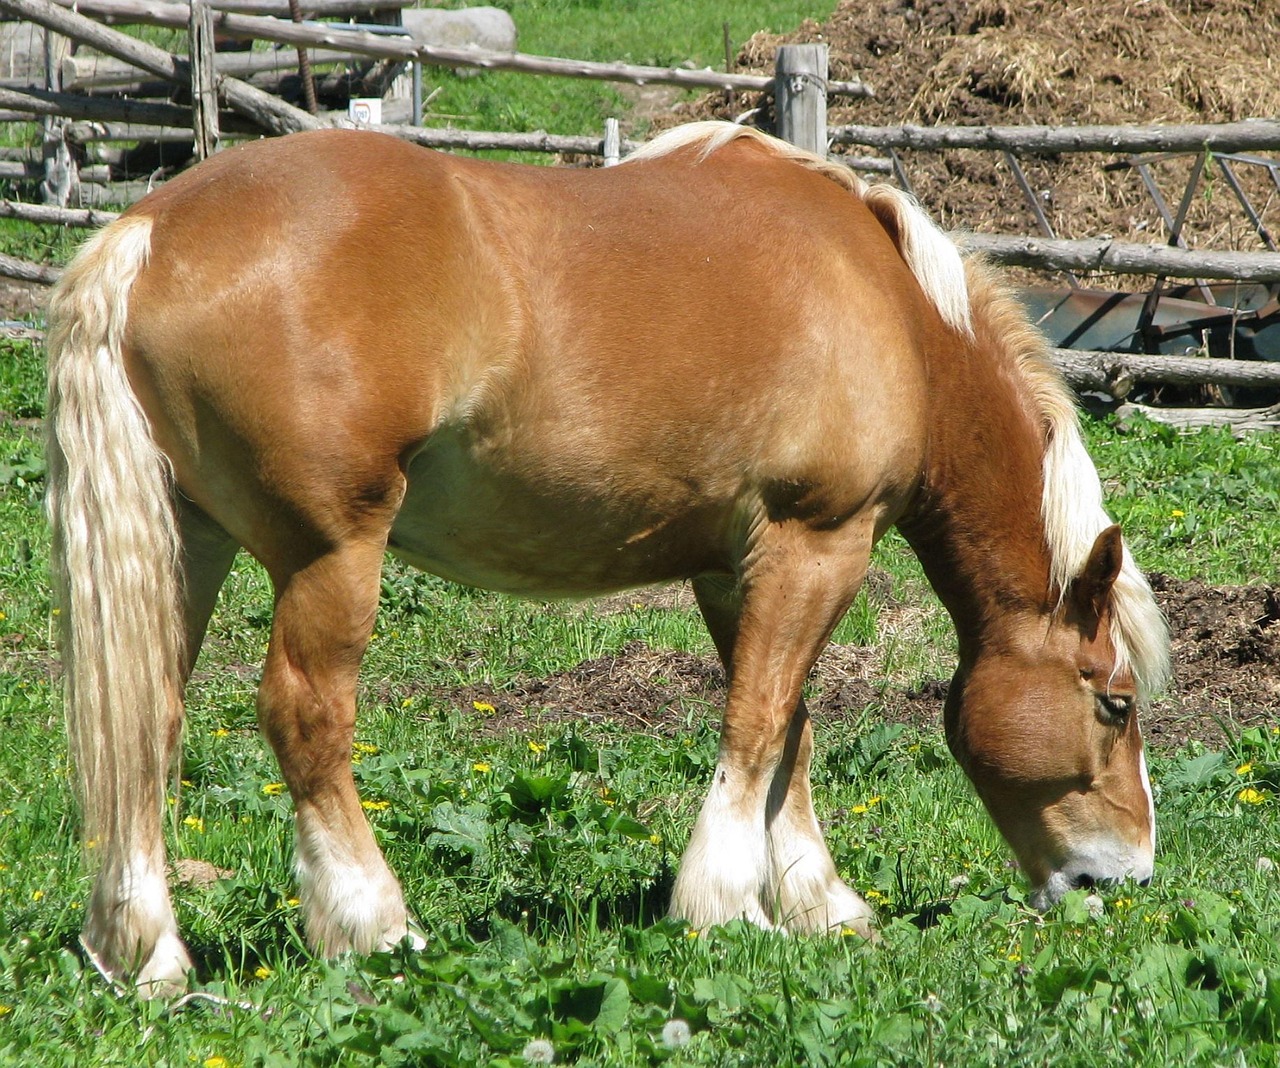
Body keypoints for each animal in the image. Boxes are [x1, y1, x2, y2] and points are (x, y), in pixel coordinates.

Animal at [45, 121, 1170, 994]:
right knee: (305, 719)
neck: (888, 305)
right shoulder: (820, 542)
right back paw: (376, 924)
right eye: (1113, 704)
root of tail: (149, 234)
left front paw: (816, 902)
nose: (1126, 878)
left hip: (190, 541)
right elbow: (758, 722)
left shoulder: (737, 568)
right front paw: (725, 905)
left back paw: (148, 953)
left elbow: (789, 729)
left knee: (148, 718)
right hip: (329, 555)